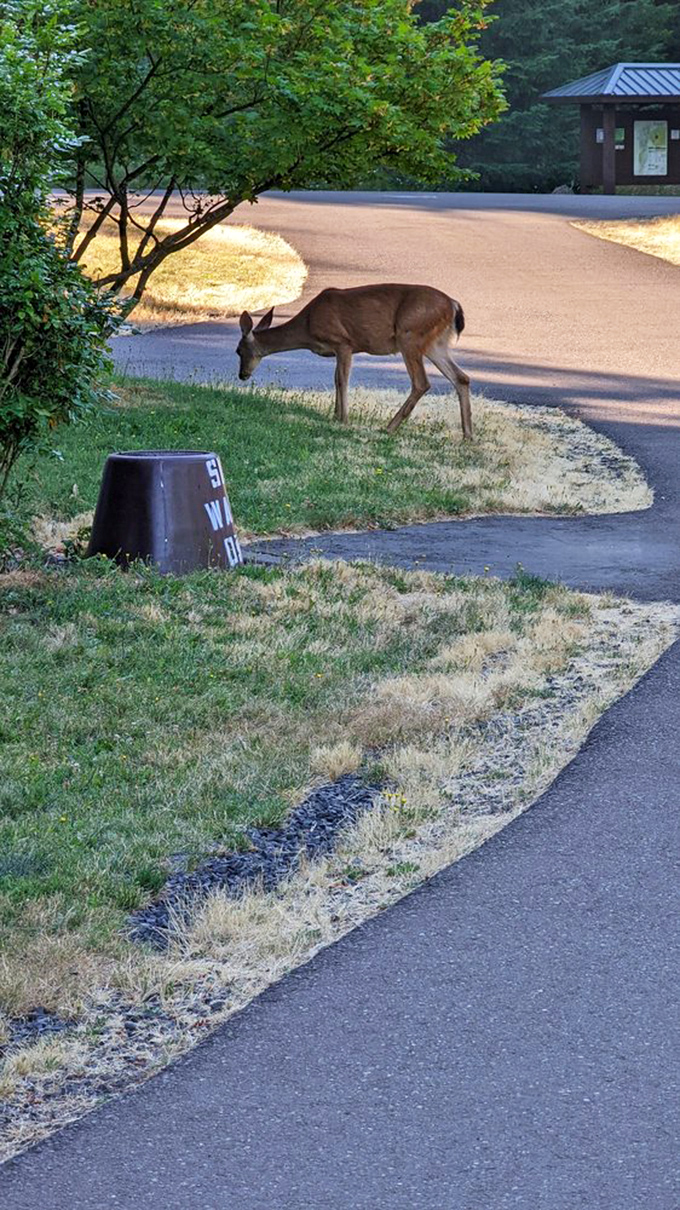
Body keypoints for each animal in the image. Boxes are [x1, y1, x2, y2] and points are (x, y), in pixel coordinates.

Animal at [236, 283, 472, 439]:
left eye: (238, 351)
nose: (242, 375)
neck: (308, 325)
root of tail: (453, 305)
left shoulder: (343, 342)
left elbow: (342, 379)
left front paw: (344, 419)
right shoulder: (338, 349)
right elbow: (335, 379)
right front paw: (334, 415)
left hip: (410, 334)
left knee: (421, 382)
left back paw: (389, 427)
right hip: (435, 344)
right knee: (461, 378)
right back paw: (467, 435)